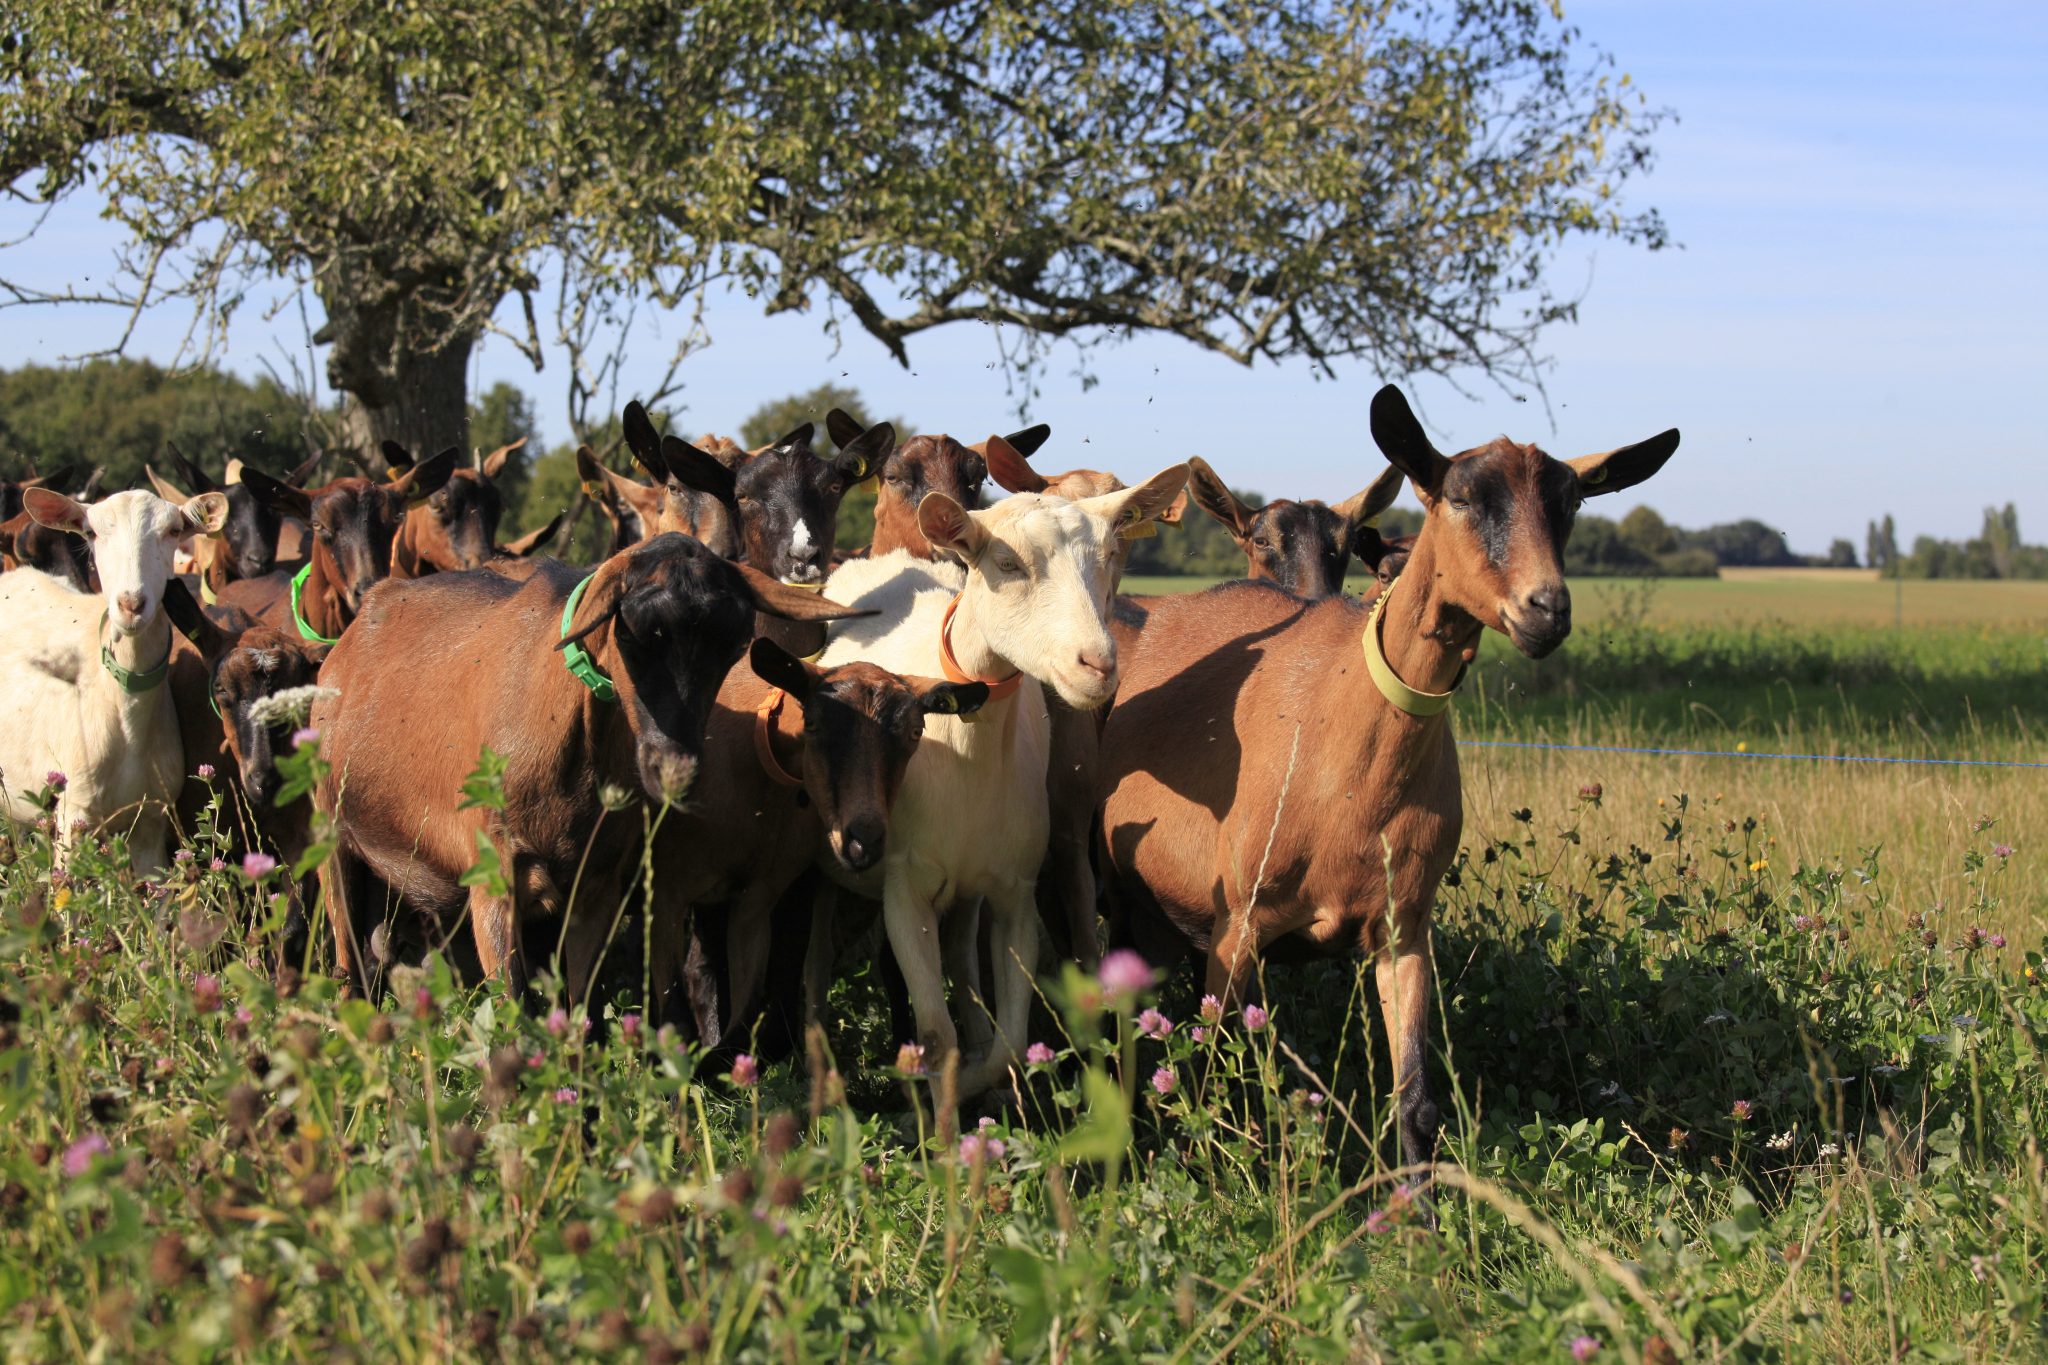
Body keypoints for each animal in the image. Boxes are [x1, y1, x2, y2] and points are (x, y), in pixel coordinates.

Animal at [1095, 385, 1680, 1171]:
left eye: (1572, 503)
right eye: (1460, 496)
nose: (1546, 609)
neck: (1345, 769)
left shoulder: (1405, 926)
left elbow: (1416, 1099)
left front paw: (1417, 1201)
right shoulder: (1237, 921)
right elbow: (1226, 1072)